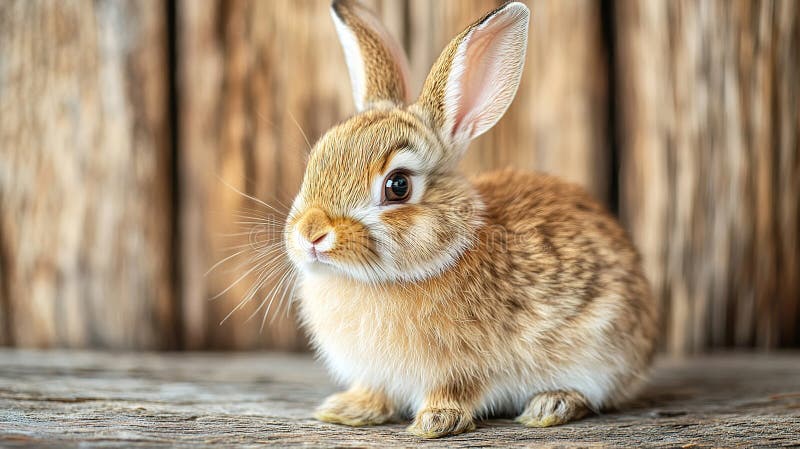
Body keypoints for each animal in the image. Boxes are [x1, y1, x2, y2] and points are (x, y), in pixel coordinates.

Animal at [283, 0, 658, 439]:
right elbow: (377, 392)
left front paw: (435, 422)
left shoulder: (467, 368)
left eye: (398, 186)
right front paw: (347, 409)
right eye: (315, 161)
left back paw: (550, 405)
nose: (311, 234)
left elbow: (457, 391)